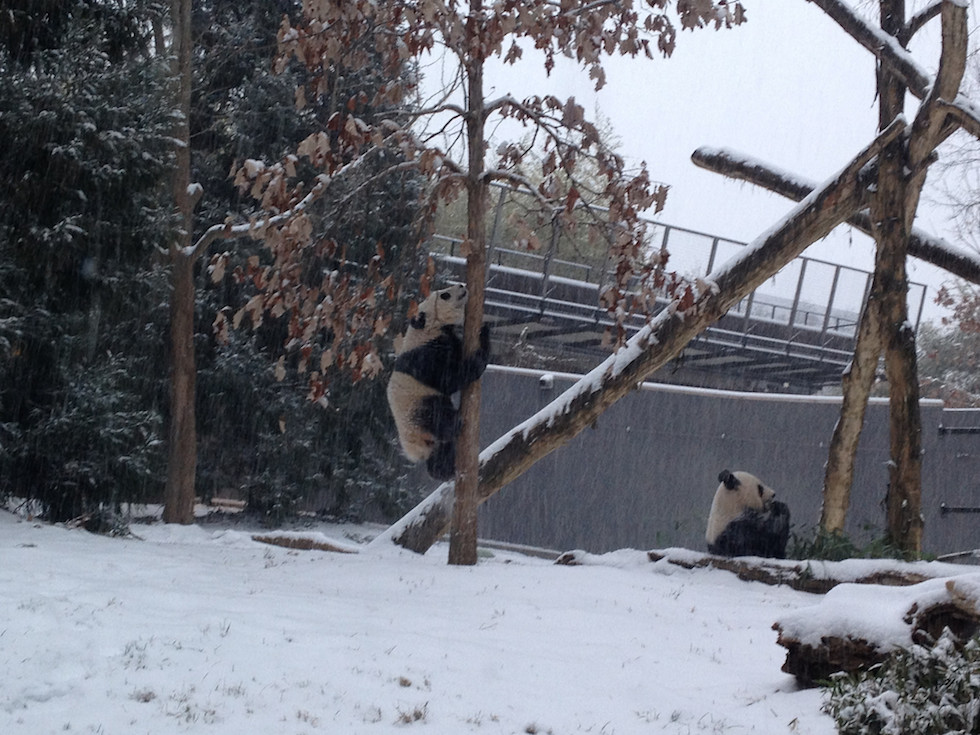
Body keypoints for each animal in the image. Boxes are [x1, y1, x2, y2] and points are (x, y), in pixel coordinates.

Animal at [386, 284, 491, 481]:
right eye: (445, 295)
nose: (462, 285)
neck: (429, 328)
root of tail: (415, 448)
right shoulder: (424, 356)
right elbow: (448, 380)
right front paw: (478, 355)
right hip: (416, 408)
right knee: (437, 414)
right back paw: (454, 423)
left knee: (441, 453)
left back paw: (443, 471)